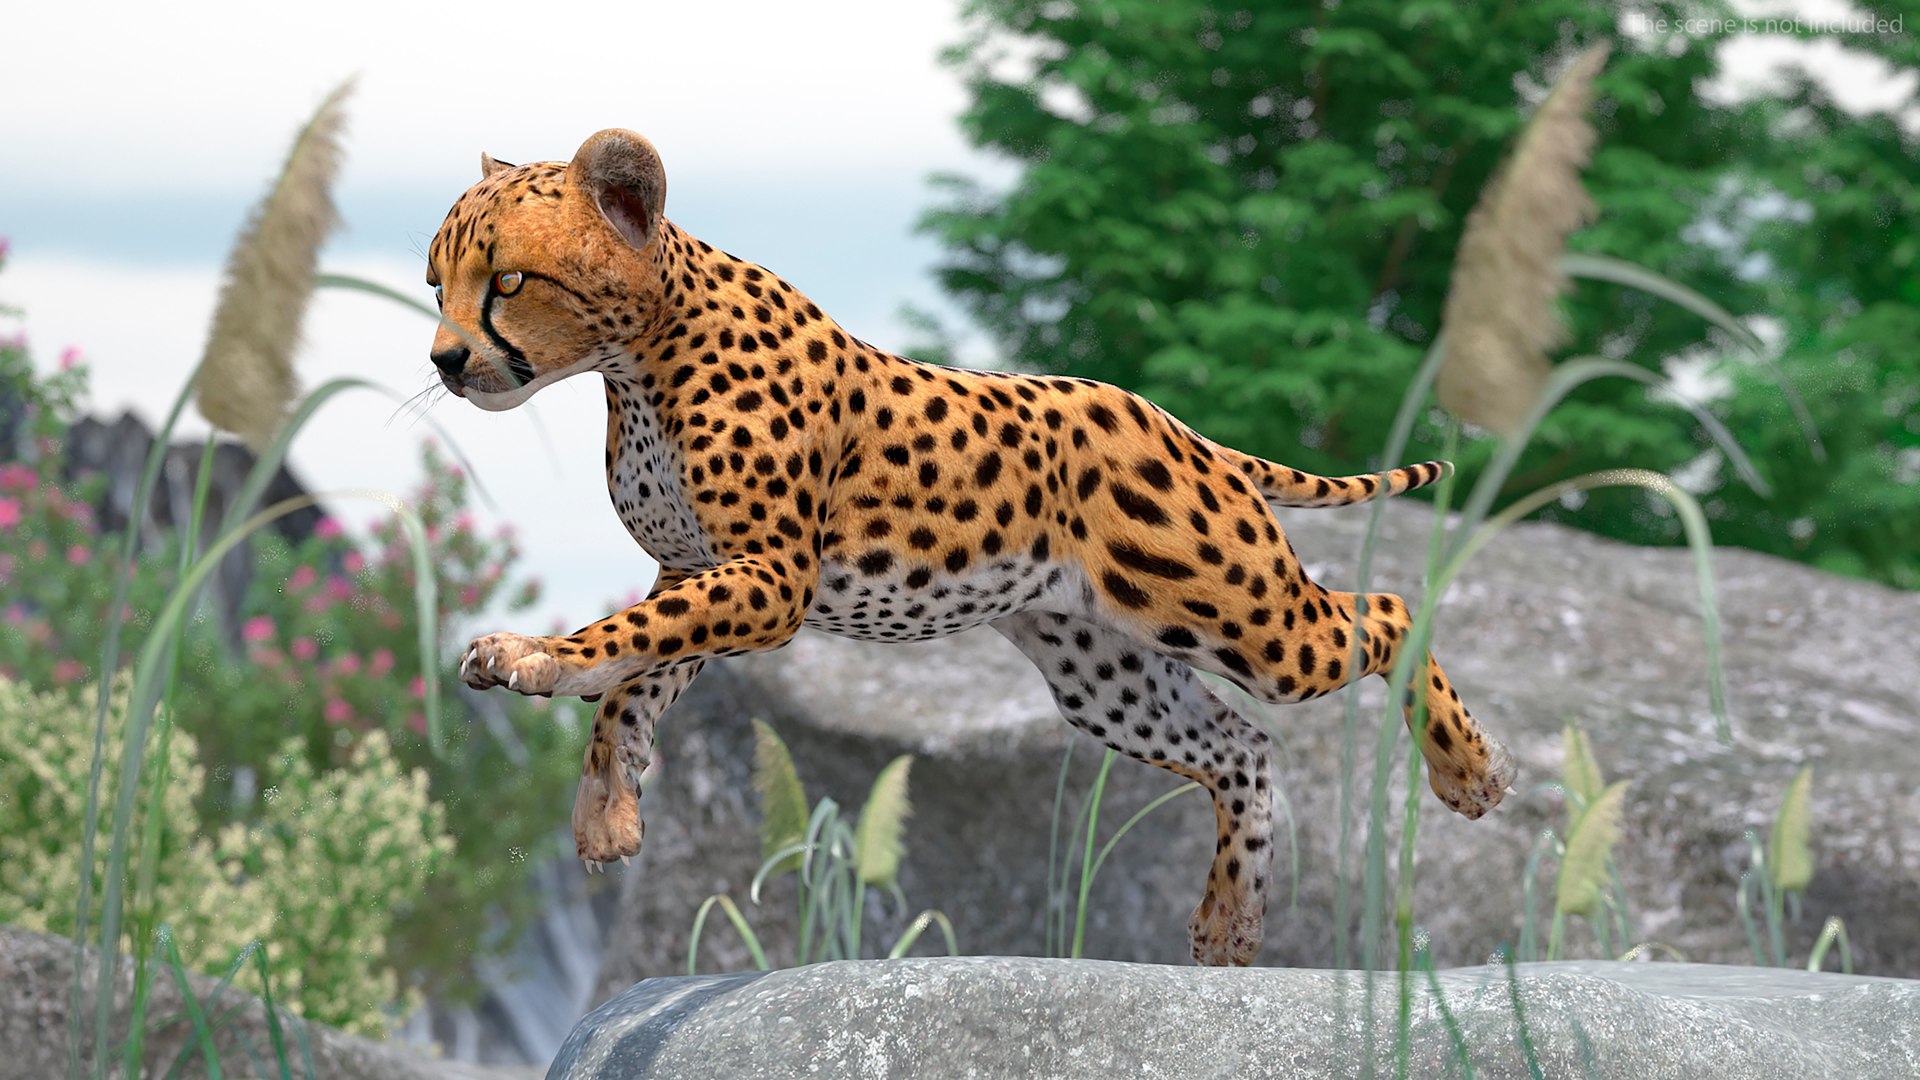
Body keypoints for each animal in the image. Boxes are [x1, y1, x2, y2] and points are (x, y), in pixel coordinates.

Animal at [424, 128, 1517, 967]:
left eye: (509, 280)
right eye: (436, 285)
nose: (443, 359)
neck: (635, 357)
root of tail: (1182, 427)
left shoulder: (767, 577)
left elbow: (624, 637)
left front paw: (529, 657)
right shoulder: (702, 567)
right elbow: (640, 671)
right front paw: (608, 806)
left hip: (1240, 612)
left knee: (1382, 615)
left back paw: (1471, 773)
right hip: (1102, 671)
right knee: (1239, 743)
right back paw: (1228, 925)